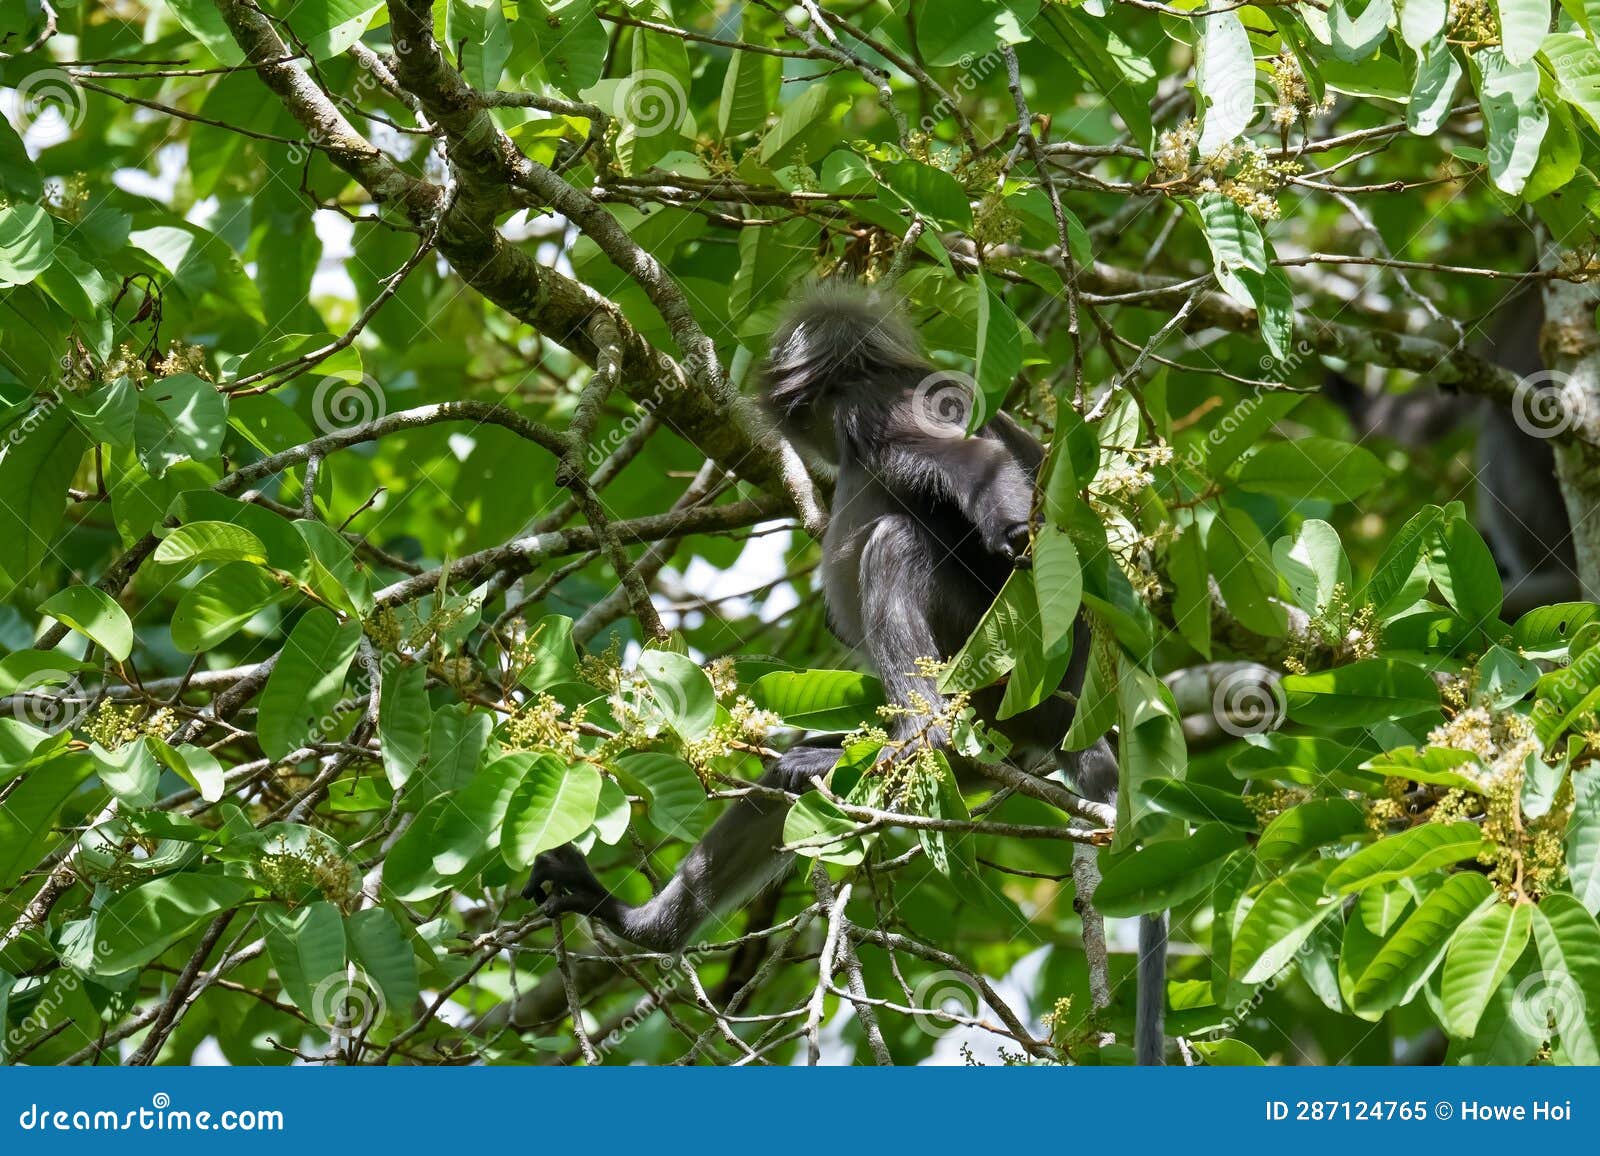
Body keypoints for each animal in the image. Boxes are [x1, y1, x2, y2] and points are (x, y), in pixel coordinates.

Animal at [527, 281, 1167, 1064]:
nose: (807, 437)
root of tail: (1072, 701)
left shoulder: (881, 405)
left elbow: (965, 454)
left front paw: (1016, 530)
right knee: (783, 784)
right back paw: (643, 924)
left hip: (998, 654)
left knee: (895, 540)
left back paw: (925, 741)